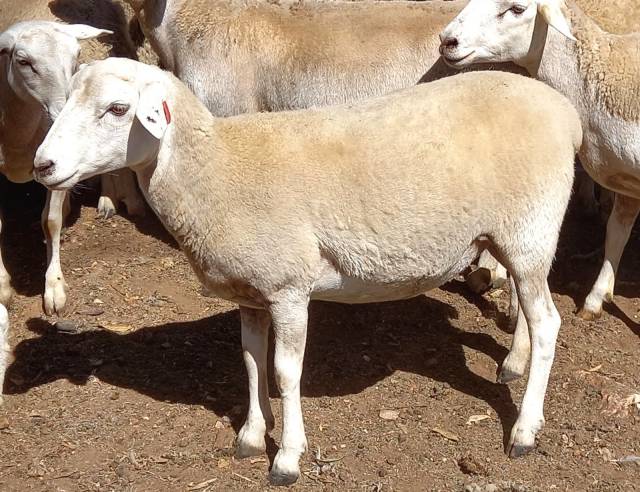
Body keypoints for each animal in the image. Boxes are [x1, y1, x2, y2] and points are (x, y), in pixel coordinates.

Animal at [33, 58, 582, 484]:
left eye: (117, 109)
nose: (42, 165)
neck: (215, 169)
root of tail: (565, 113)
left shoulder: (288, 287)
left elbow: (284, 370)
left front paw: (287, 457)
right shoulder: (251, 293)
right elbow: (251, 360)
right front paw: (252, 435)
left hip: (531, 229)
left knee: (548, 323)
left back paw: (525, 430)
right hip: (512, 238)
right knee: (529, 311)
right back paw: (512, 363)